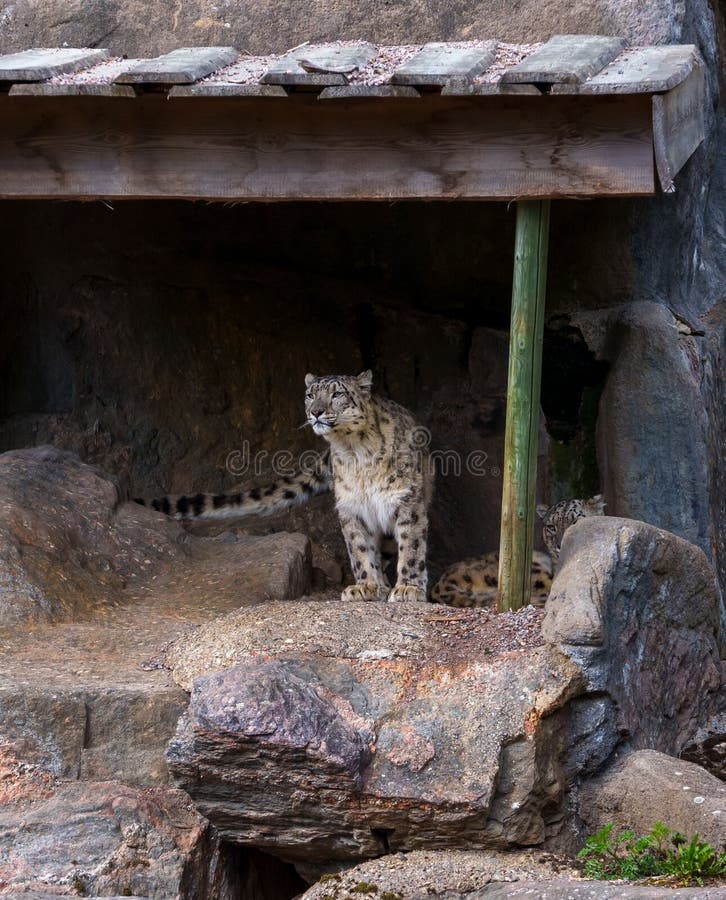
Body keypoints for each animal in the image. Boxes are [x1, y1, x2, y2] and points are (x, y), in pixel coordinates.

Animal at [135, 370, 433, 603]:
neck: (354, 451)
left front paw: (408, 588)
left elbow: (411, 546)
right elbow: (360, 550)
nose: (316, 412)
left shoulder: (407, 501)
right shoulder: (352, 508)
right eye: (311, 395)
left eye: (337, 394)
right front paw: (366, 587)